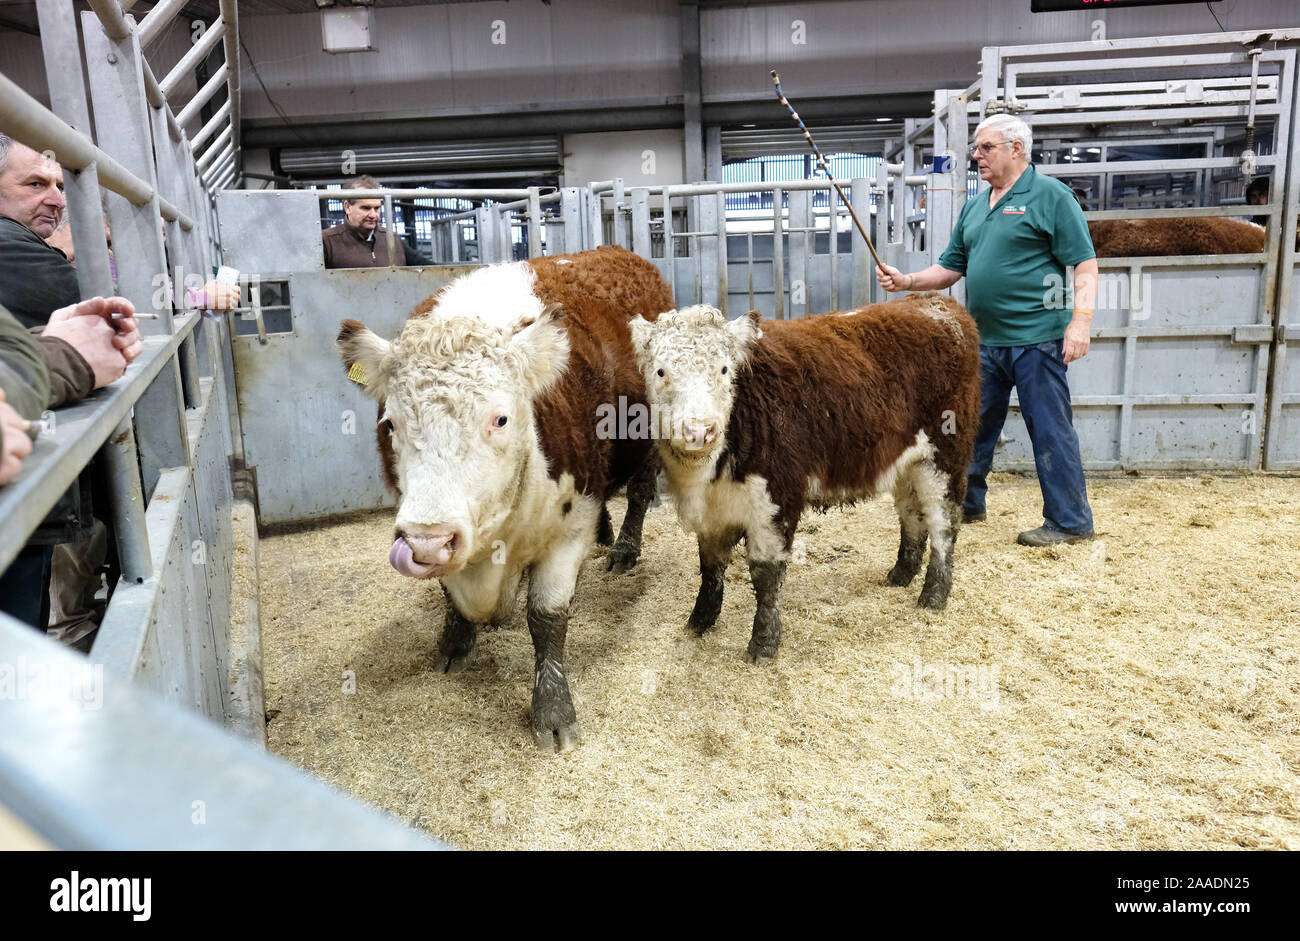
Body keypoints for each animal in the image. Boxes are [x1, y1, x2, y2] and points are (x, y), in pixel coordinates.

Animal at [337, 246, 673, 751]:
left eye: (500, 419)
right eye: (390, 423)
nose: (427, 541)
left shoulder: (569, 525)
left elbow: (547, 617)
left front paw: (552, 711)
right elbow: (452, 598)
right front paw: (455, 645)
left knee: (638, 490)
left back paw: (623, 548)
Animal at [628, 294, 980, 661]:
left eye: (724, 369)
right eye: (661, 371)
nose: (699, 430)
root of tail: (936, 302)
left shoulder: (776, 498)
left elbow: (766, 574)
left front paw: (764, 643)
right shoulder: (713, 511)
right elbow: (711, 565)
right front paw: (699, 621)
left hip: (945, 456)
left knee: (944, 524)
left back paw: (933, 595)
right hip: (905, 462)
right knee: (912, 515)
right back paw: (900, 575)